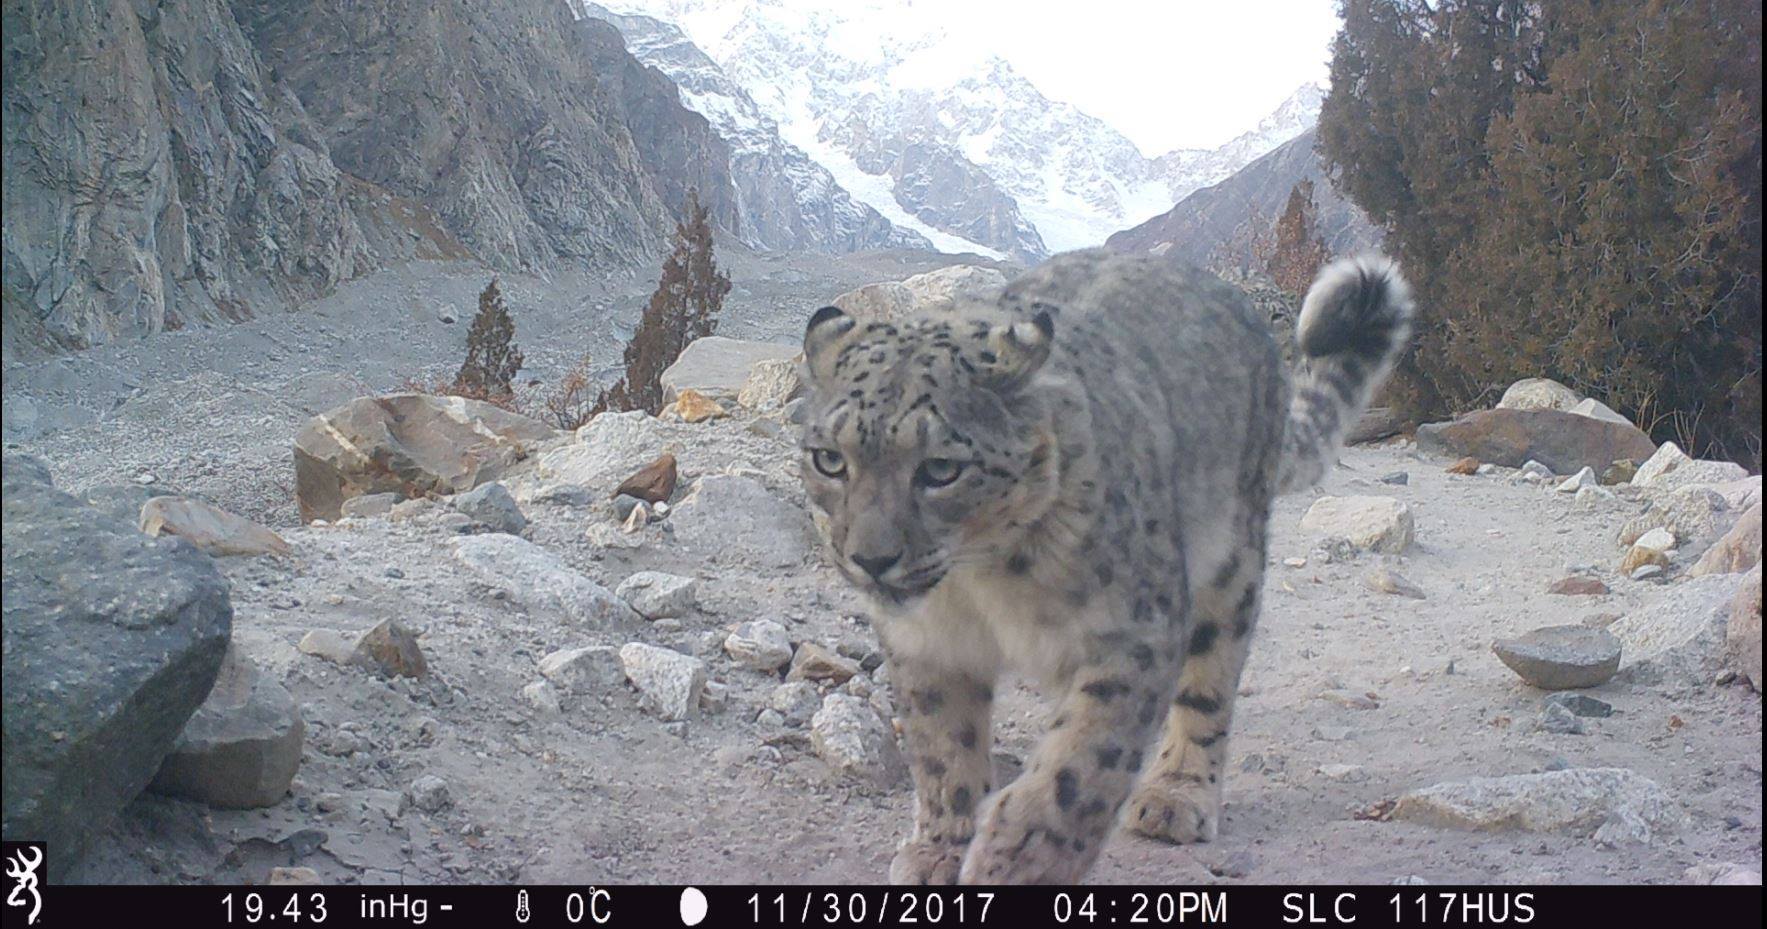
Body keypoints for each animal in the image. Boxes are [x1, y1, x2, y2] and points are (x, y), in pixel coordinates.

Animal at [796, 248, 1414, 884]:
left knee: (1209, 683)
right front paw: (941, 849)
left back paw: (1176, 795)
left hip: (1231, 562)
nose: (870, 559)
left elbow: (1082, 760)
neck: (978, 584)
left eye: (941, 469)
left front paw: (1018, 858)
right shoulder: (926, 645)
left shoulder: (1132, 633)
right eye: (829, 459)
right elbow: (943, 746)